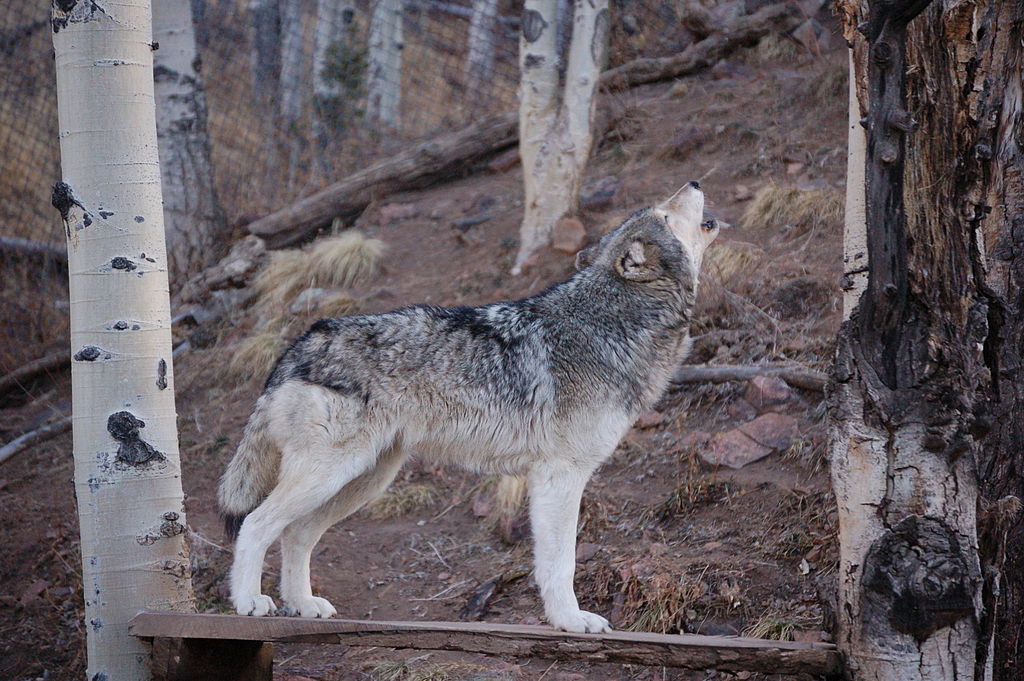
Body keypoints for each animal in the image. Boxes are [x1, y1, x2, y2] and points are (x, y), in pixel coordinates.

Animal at [218, 181, 719, 633]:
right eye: (666, 214)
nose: (695, 181)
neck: (609, 323)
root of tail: (300, 343)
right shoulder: (559, 475)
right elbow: (561, 563)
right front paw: (571, 621)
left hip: (365, 480)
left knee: (296, 533)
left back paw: (303, 605)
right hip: (330, 474)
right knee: (256, 525)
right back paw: (249, 603)